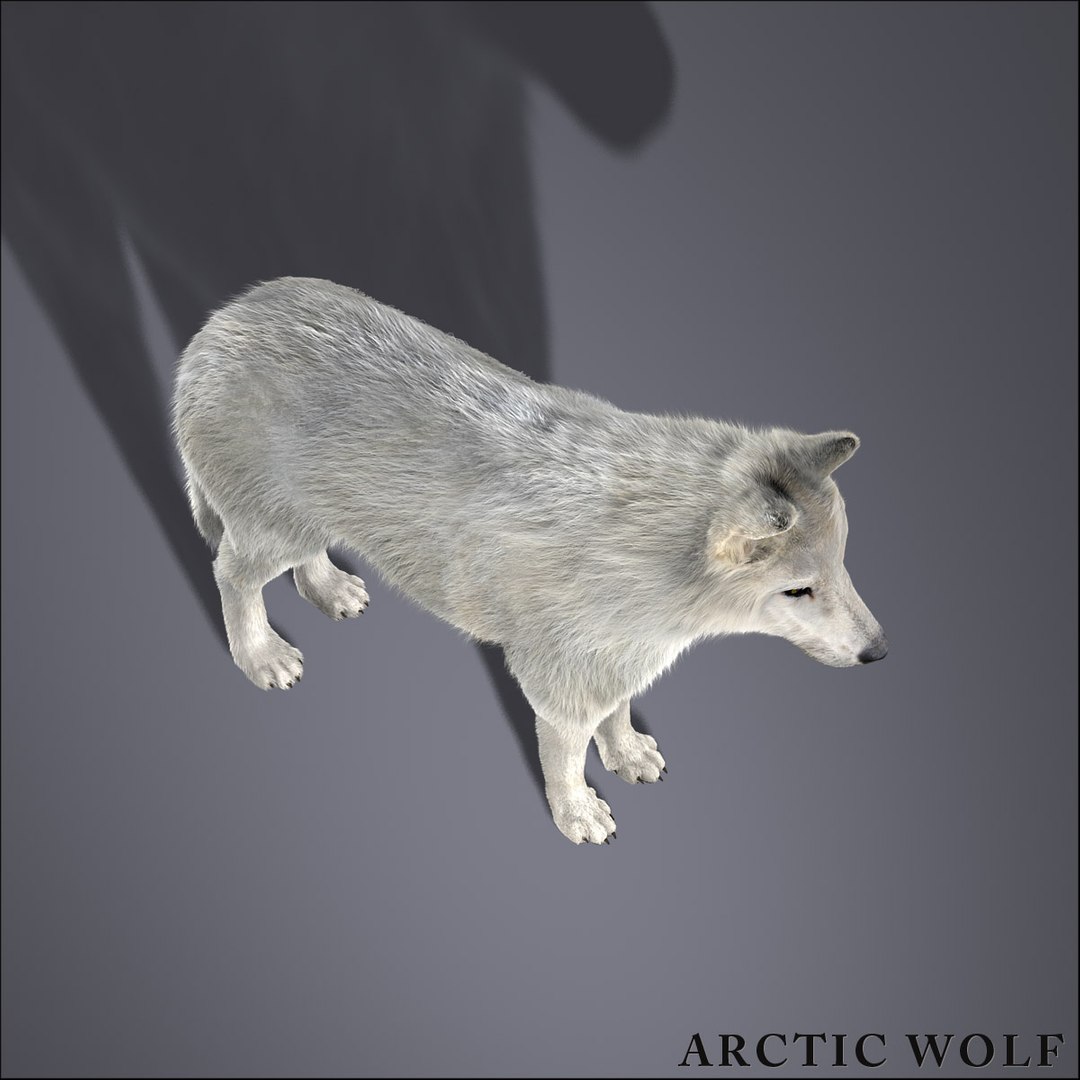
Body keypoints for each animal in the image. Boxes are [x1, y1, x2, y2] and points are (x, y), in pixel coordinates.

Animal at [174, 277, 887, 845]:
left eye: (842, 565)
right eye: (798, 591)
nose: (880, 651)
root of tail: (217, 325)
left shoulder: (617, 654)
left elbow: (617, 714)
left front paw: (627, 751)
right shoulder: (564, 670)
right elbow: (566, 754)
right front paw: (577, 812)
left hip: (310, 517)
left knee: (305, 557)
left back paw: (329, 590)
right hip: (274, 526)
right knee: (232, 574)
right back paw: (260, 653)